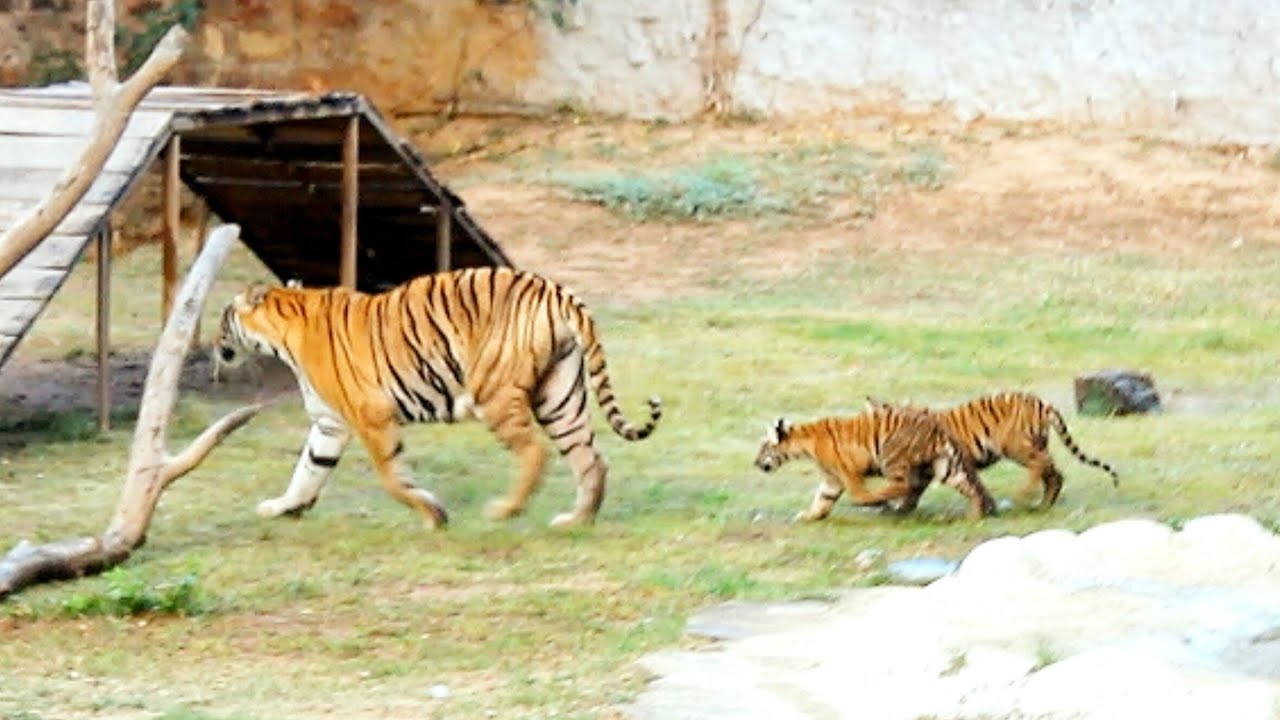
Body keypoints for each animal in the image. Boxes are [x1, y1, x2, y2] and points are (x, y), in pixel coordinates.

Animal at [212, 266, 662, 530]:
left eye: (222, 317)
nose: (217, 345)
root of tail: (555, 290)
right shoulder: (329, 424)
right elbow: (308, 470)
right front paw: (284, 507)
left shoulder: (371, 415)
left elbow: (392, 478)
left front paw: (434, 515)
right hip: (560, 397)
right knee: (591, 460)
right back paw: (576, 520)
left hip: (495, 394)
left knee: (537, 453)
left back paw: (504, 511)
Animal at [753, 404, 997, 521]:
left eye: (763, 447)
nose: (755, 463)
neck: (804, 442)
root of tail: (937, 426)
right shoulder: (832, 478)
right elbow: (823, 499)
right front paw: (810, 516)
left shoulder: (848, 471)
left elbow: (858, 494)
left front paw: (871, 502)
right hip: (946, 466)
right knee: (971, 488)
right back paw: (974, 516)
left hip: (891, 456)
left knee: (904, 485)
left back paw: (886, 503)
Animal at [865, 391, 1119, 509]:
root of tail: (1041, 402)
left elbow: (913, 490)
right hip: (1035, 443)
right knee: (1054, 473)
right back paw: (1044, 504)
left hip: (1015, 445)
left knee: (1041, 463)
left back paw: (1024, 495)